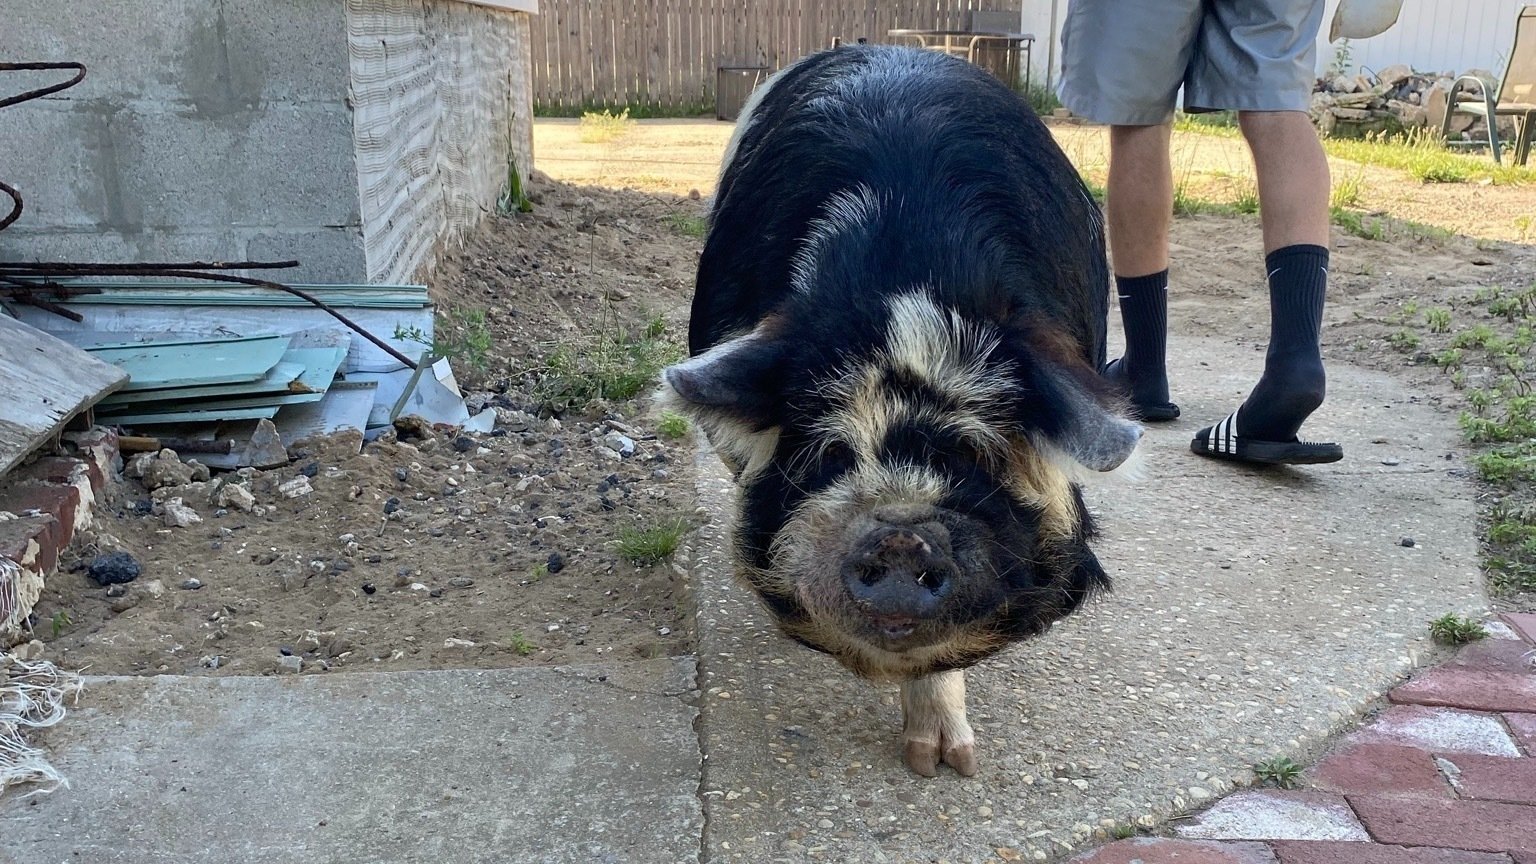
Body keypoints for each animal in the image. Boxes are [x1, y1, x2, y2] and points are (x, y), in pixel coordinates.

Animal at [656, 43, 1142, 777]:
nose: (899, 535)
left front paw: (947, 766)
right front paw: (930, 762)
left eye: (973, 453)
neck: (909, 284)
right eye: (830, 452)